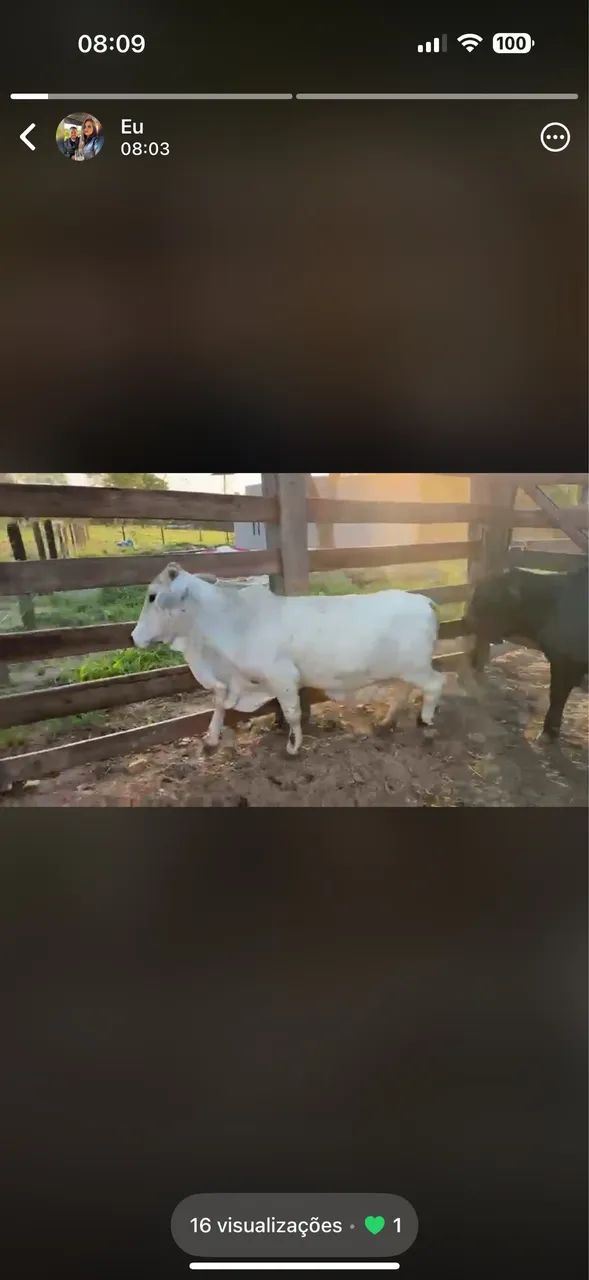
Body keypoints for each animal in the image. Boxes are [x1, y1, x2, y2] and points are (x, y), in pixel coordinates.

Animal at [131, 563, 446, 755]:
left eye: (152, 596)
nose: (134, 636)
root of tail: (425, 601)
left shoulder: (282, 677)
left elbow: (292, 712)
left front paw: (294, 746)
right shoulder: (232, 680)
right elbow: (219, 703)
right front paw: (211, 739)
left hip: (418, 667)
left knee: (435, 684)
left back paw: (426, 721)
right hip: (404, 670)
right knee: (403, 691)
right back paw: (386, 721)